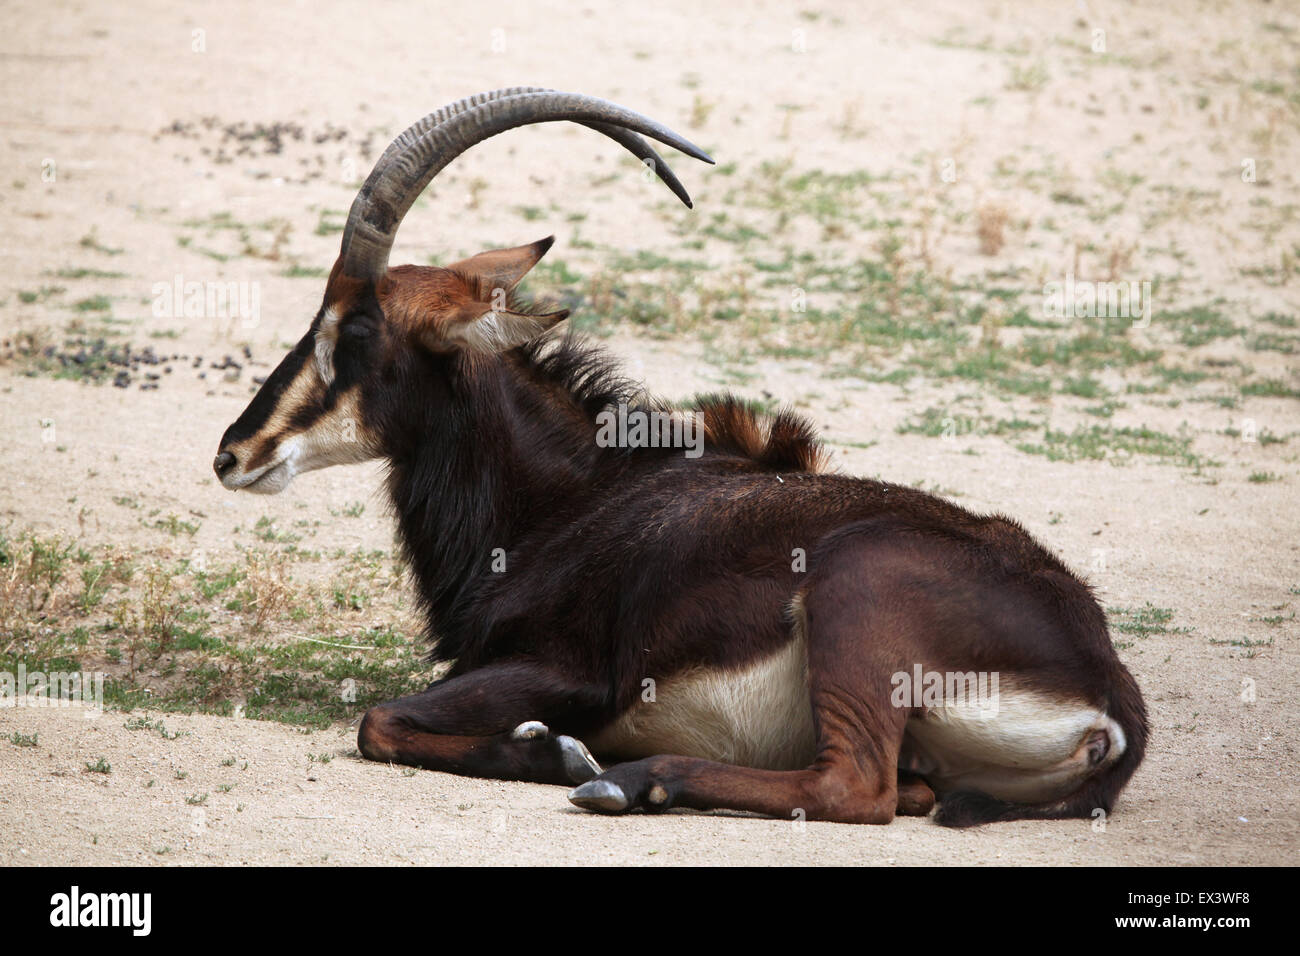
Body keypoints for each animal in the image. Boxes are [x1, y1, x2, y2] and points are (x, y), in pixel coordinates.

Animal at [213, 88, 1148, 826]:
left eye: (354, 332)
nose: (233, 452)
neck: (574, 499)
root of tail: (1110, 694)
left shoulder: (567, 672)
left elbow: (378, 720)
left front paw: (560, 754)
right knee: (905, 788)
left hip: (856, 591)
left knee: (856, 790)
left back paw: (632, 781)